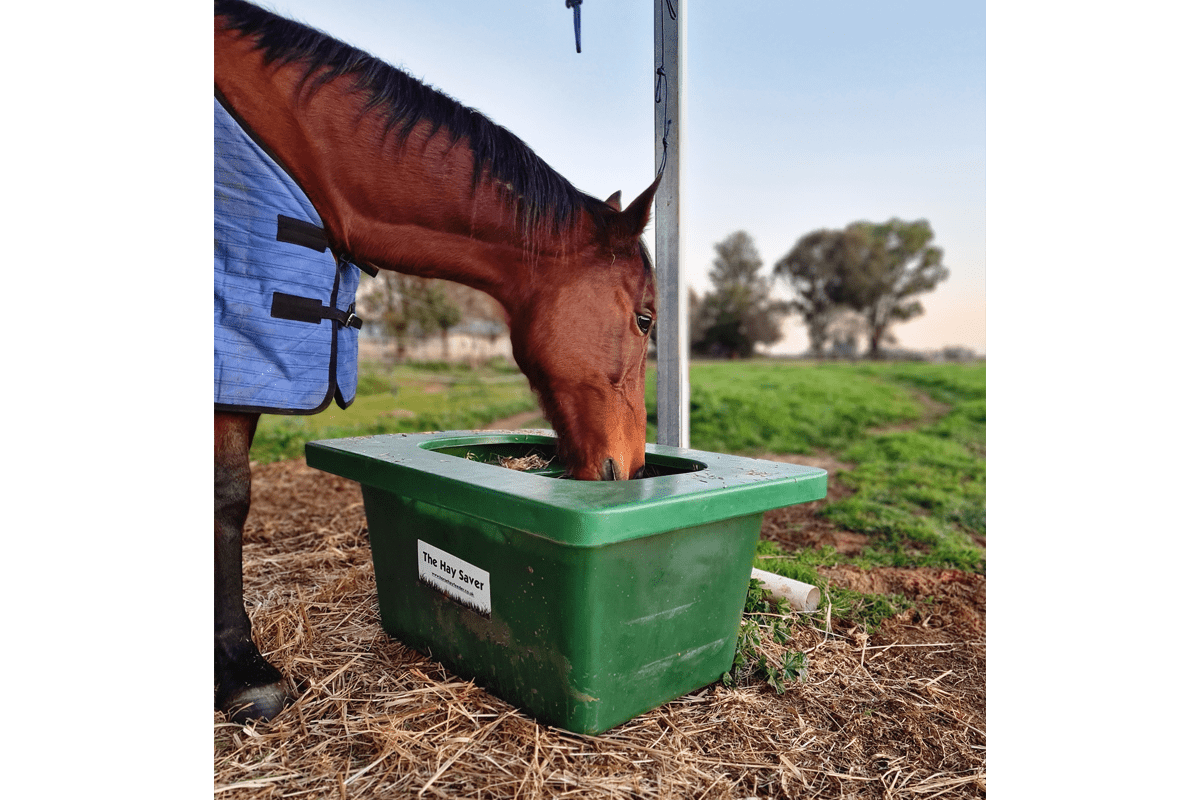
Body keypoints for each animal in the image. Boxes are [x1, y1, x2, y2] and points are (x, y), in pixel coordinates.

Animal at [214, 0, 660, 723]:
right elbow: (229, 497)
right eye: (645, 319)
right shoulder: (238, 349)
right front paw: (240, 670)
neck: (297, 145)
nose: (637, 466)